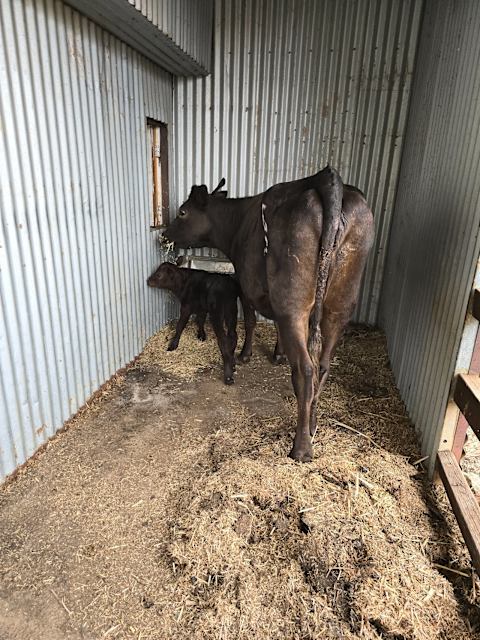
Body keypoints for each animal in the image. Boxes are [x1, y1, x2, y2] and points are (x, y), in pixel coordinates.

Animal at [163, 166, 374, 462]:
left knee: (306, 368)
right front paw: (278, 353)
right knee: (322, 365)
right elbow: (273, 324)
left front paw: (246, 354)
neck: (236, 222)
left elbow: (251, 320)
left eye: (182, 212)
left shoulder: (245, 281)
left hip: (293, 301)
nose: (163, 234)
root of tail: (329, 179)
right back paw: (313, 423)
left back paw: (301, 447)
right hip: (340, 302)